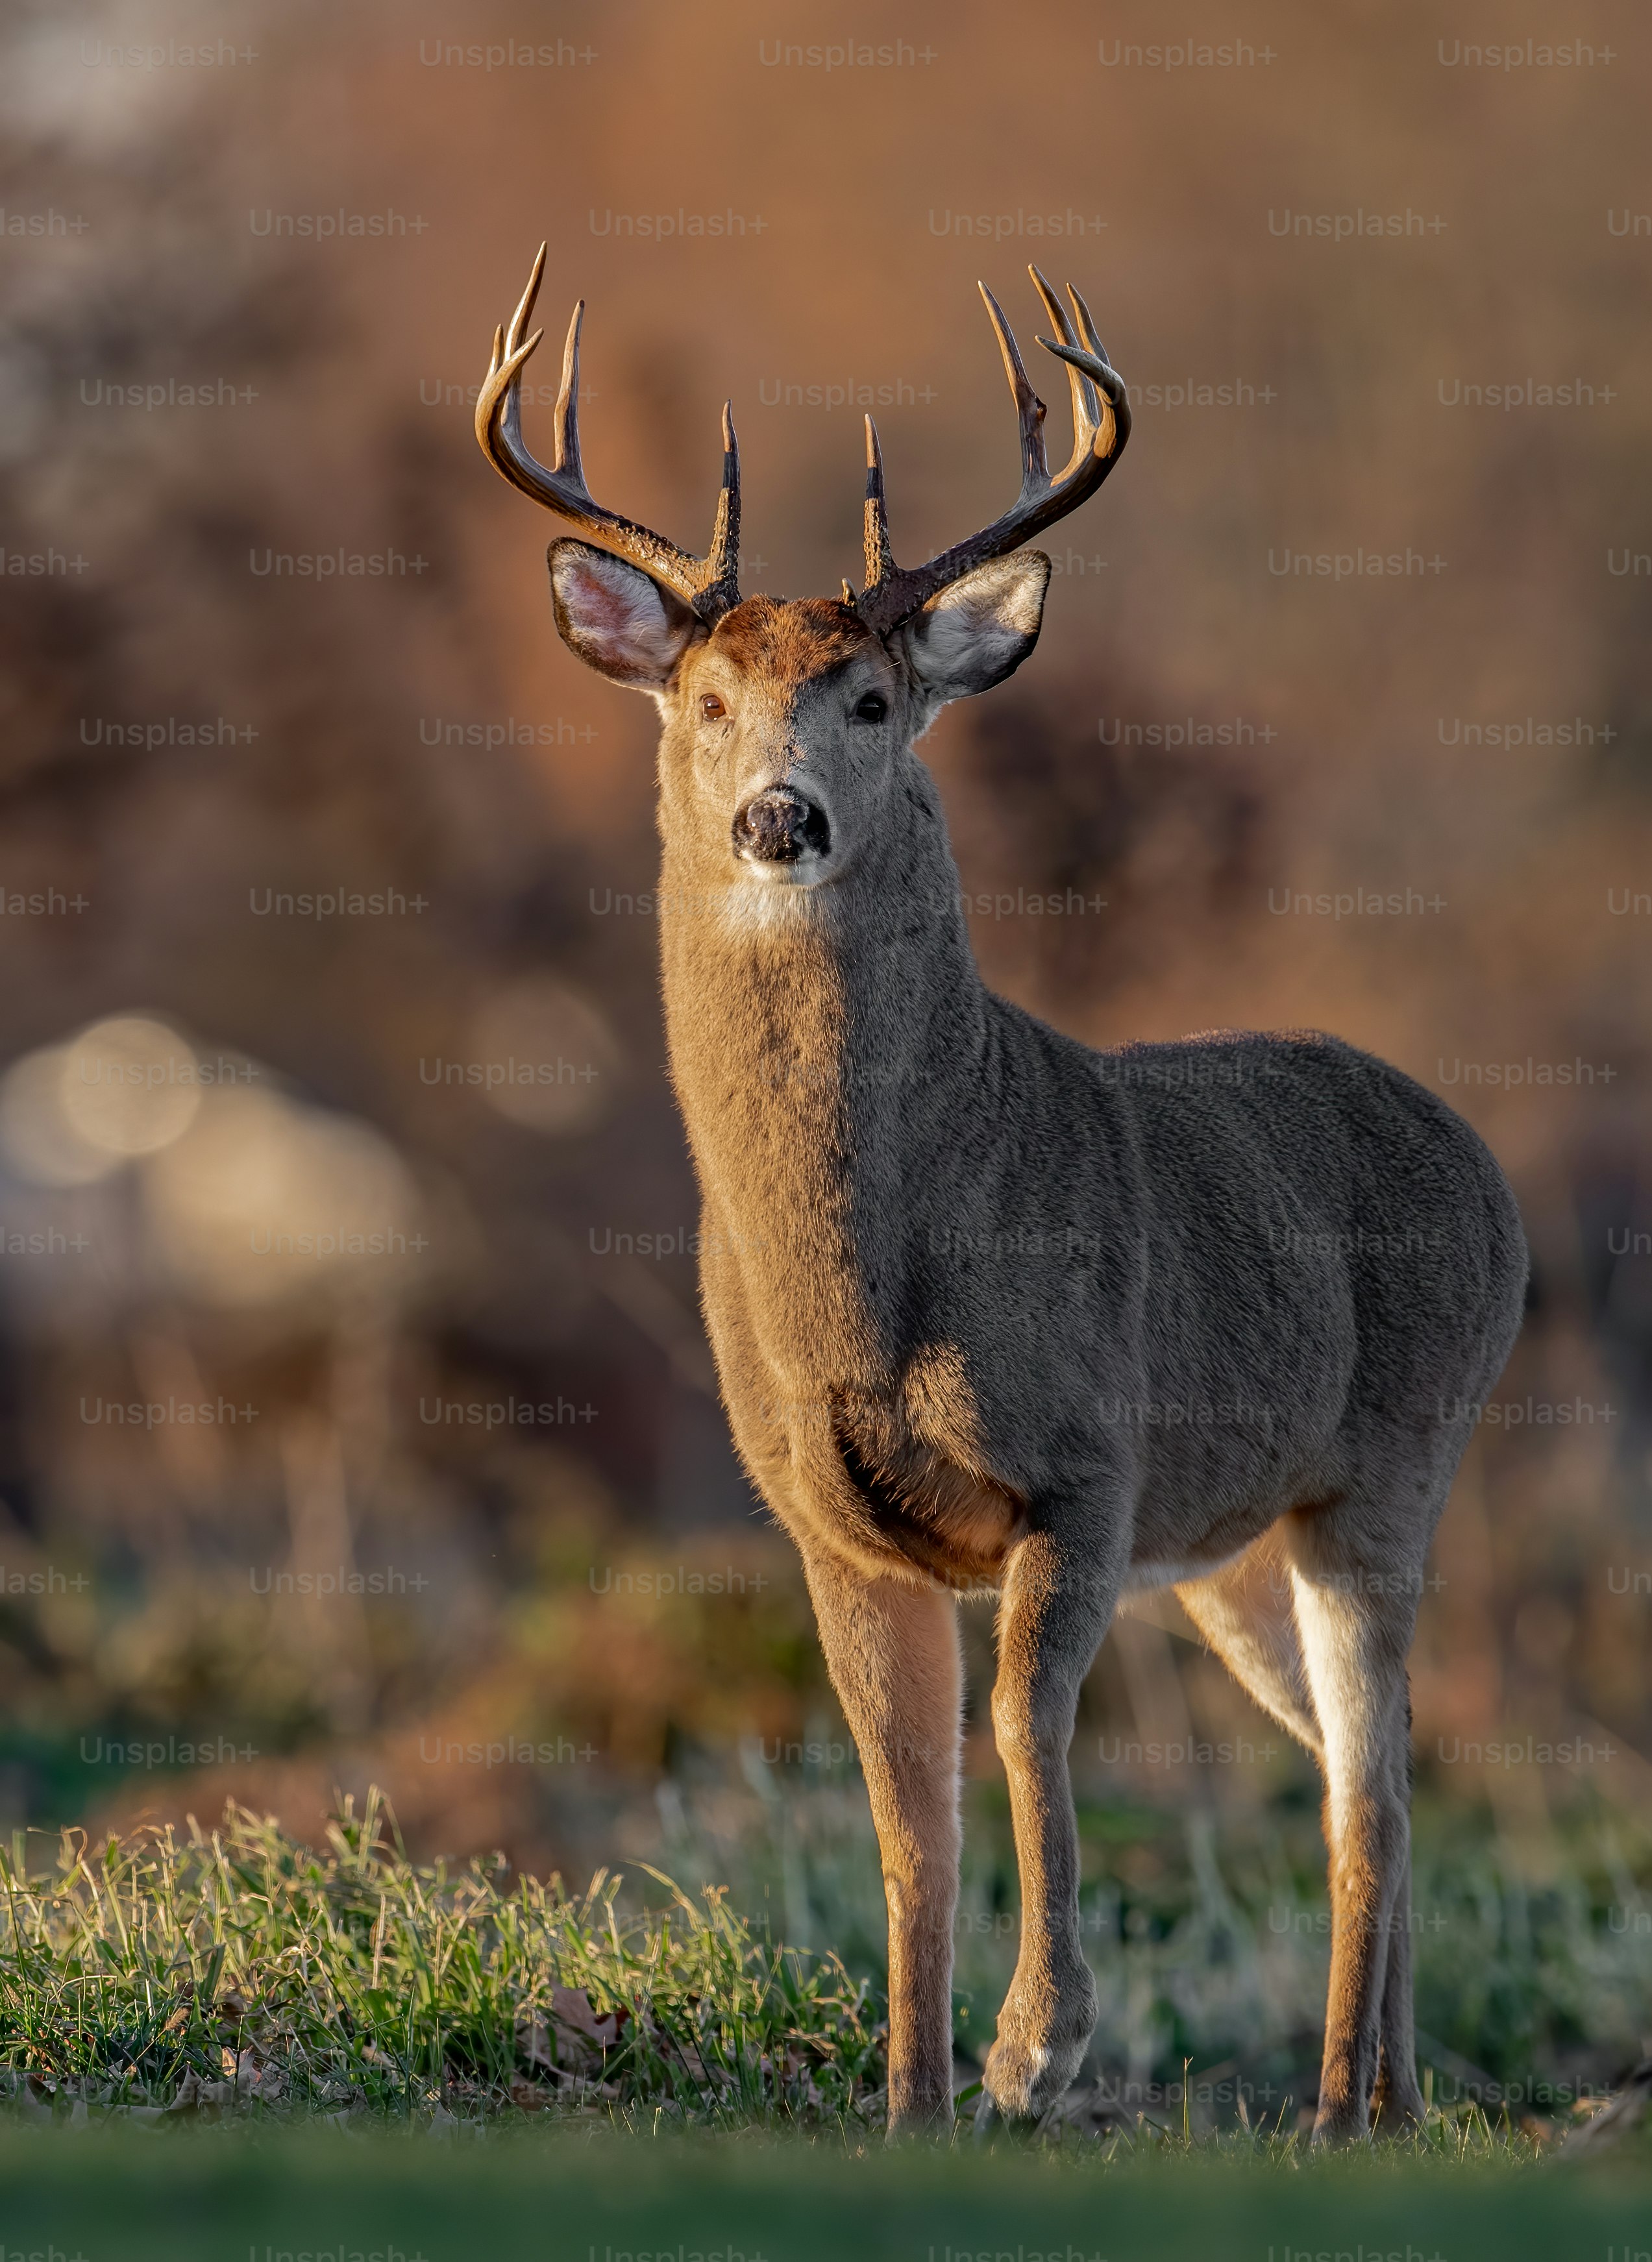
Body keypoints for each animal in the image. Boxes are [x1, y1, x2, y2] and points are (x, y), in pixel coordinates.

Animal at [474, 247, 1527, 2142]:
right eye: (703, 699)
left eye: (874, 700)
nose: (779, 819)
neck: (872, 1277)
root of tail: (1481, 1162)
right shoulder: (822, 1517)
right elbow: (908, 1804)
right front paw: (909, 2096)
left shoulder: (1081, 1463)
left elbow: (1030, 1741)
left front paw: (1036, 2049)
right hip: (1232, 1545)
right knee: (1370, 1761)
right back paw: (1392, 2097)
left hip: (1393, 1456)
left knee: (1375, 1787)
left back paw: (1340, 2105)